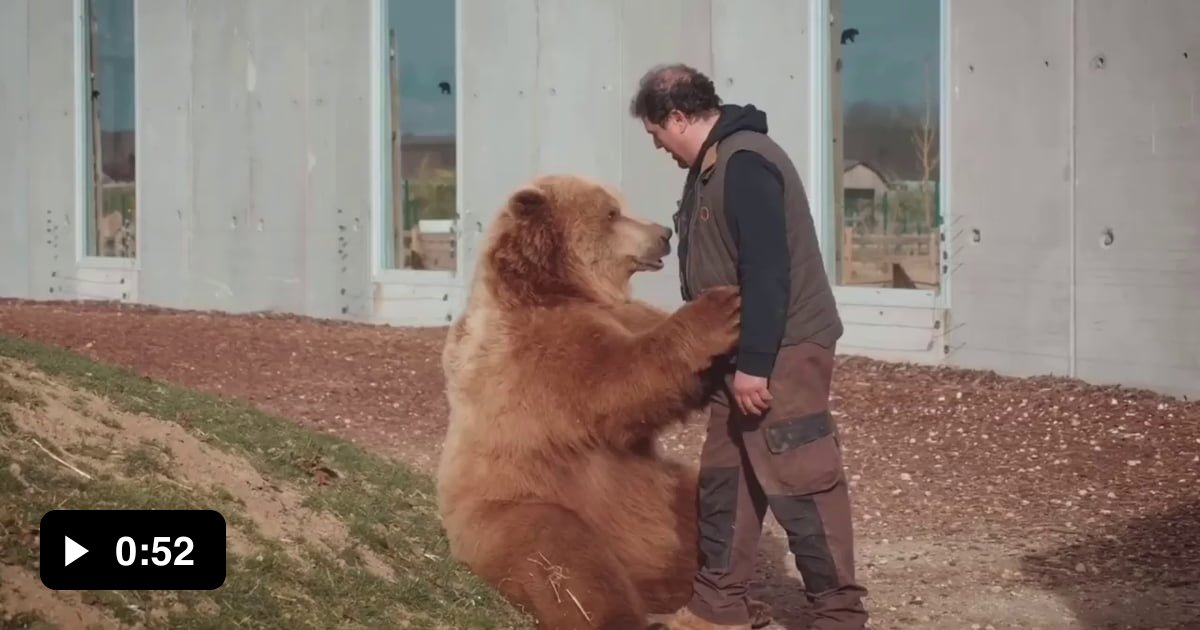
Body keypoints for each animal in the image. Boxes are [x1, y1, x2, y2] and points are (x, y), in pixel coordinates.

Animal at [436, 173, 743, 629]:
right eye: (612, 213)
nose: (663, 234)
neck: (557, 288)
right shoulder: (539, 354)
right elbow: (619, 381)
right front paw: (720, 309)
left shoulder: (621, 314)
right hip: (516, 511)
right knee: (568, 560)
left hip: (659, 496)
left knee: (690, 510)